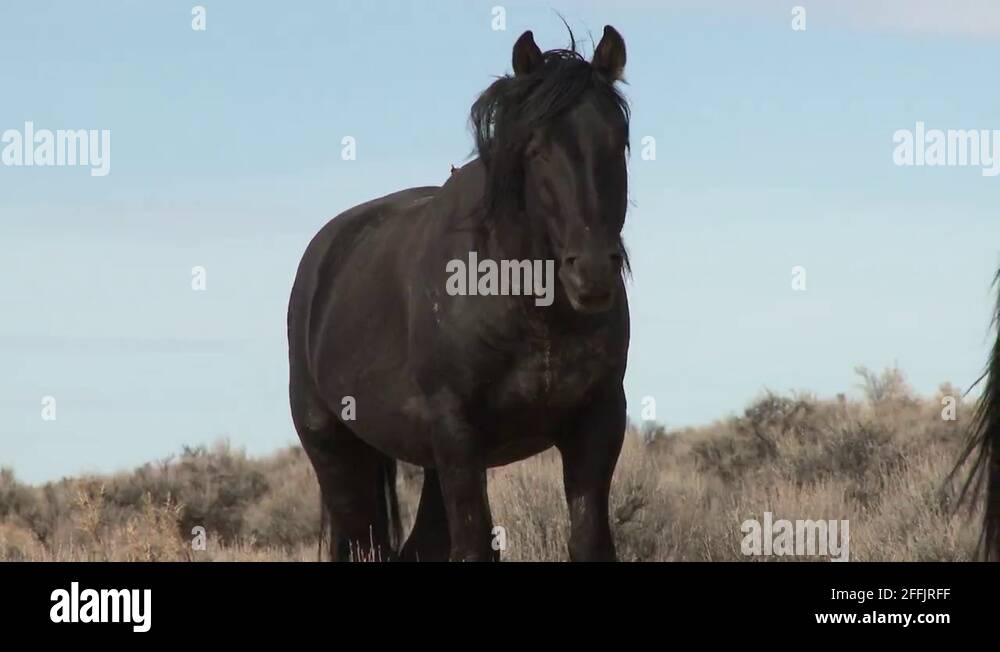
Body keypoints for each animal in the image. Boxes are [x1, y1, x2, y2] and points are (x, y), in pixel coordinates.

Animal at [287, 26, 632, 561]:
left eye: (617, 141)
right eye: (536, 149)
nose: (593, 271)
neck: (531, 312)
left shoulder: (597, 421)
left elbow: (589, 541)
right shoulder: (457, 434)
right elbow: (474, 544)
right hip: (336, 451)